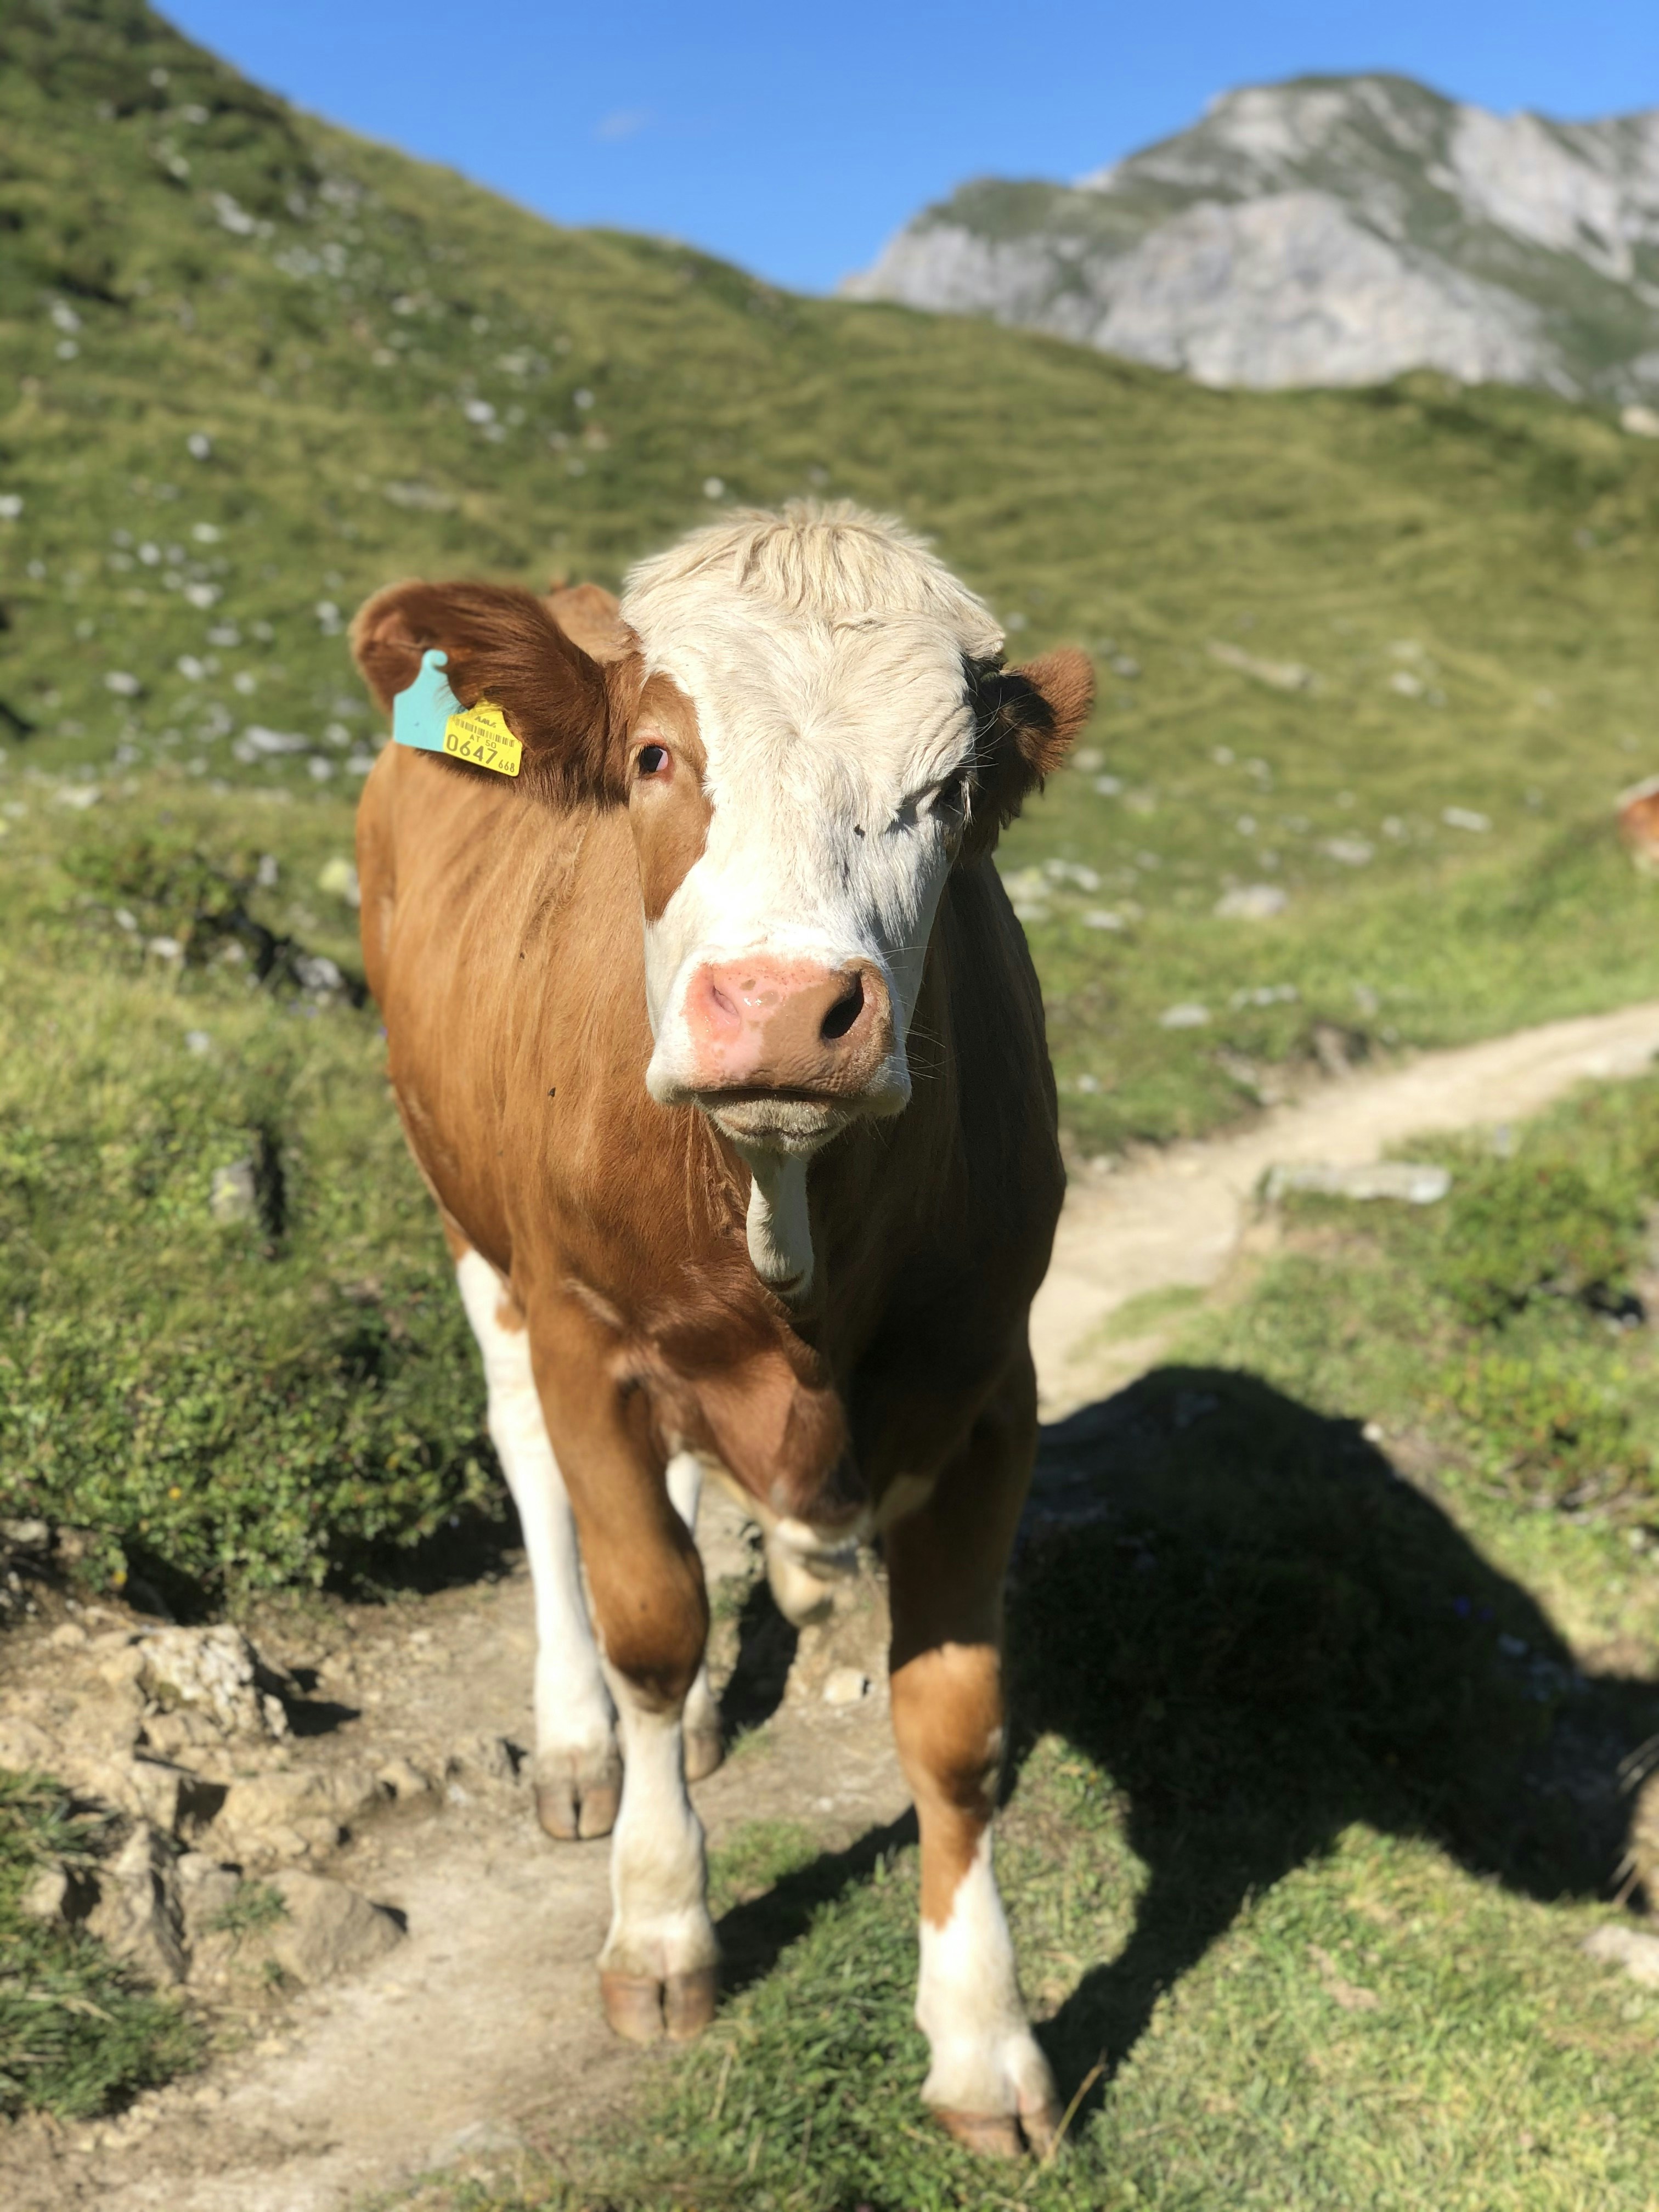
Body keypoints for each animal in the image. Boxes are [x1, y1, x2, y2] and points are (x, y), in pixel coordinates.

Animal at [351, 502, 1093, 2156]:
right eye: (652, 757)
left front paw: (984, 2043)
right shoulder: (586, 1334)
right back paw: (582, 1747)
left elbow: (955, 1723)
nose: (783, 1007)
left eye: (949, 791)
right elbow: (650, 1621)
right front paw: (659, 1930)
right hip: (468, 1222)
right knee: (533, 1464)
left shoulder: (988, 1383)